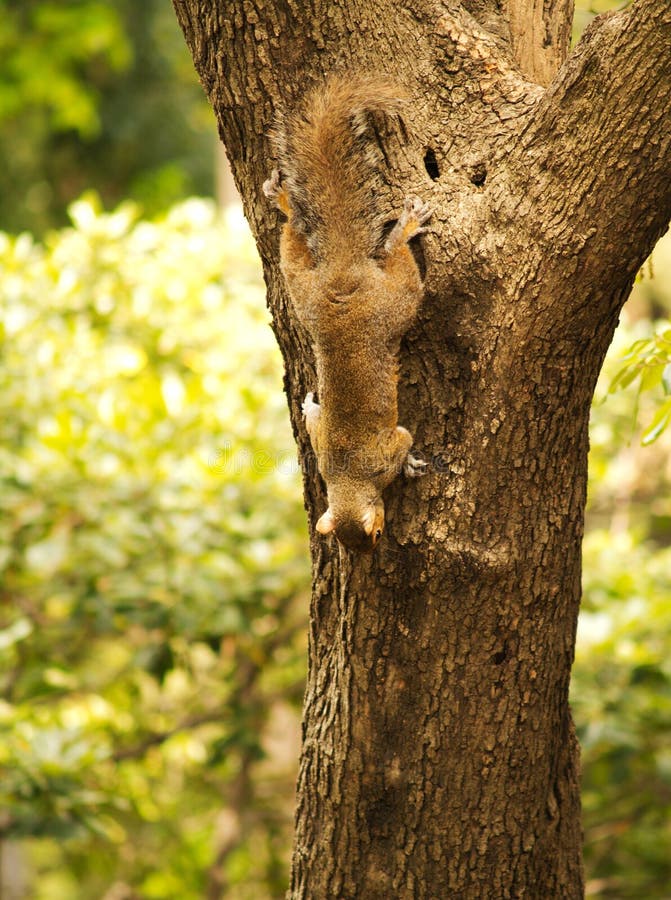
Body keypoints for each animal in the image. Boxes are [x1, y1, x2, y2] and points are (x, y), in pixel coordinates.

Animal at [263, 74, 431, 553]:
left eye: (373, 536)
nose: (369, 551)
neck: (349, 479)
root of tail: (343, 278)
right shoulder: (327, 449)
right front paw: (307, 404)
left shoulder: (382, 449)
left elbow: (403, 441)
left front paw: (410, 464)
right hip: (310, 296)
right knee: (293, 242)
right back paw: (285, 200)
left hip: (389, 303)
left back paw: (404, 227)